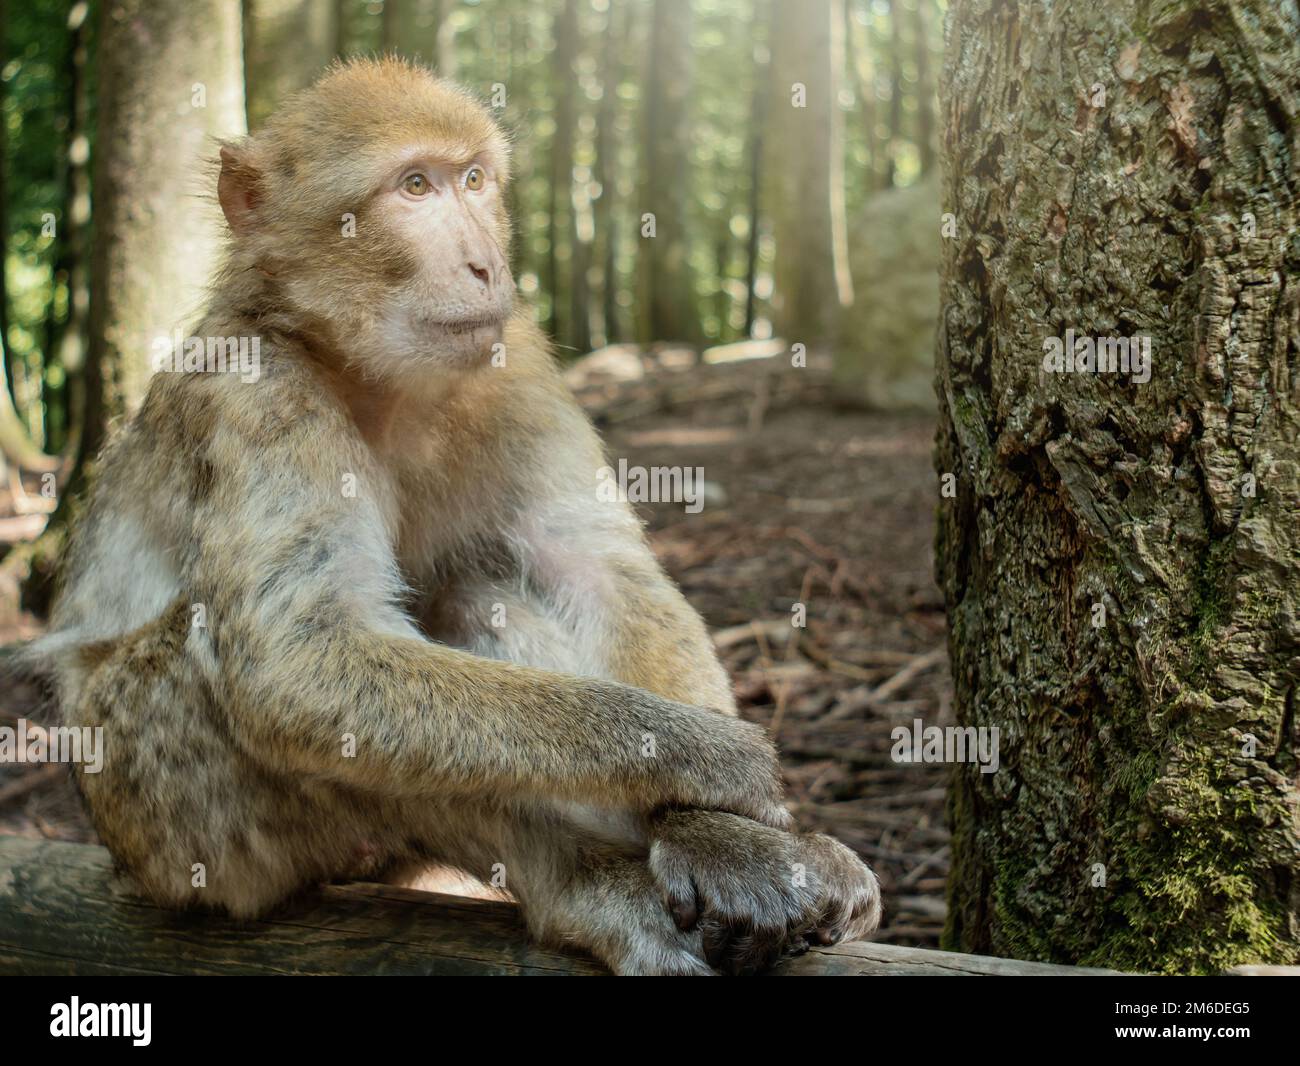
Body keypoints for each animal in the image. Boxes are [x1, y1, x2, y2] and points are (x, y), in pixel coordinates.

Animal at [22, 58, 879, 975]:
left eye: (473, 180)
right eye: (414, 187)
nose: (485, 263)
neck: (375, 373)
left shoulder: (518, 359)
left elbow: (603, 573)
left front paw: (713, 828)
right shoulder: (252, 394)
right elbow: (298, 662)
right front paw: (710, 765)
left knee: (479, 590)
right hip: (180, 831)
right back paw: (588, 885)